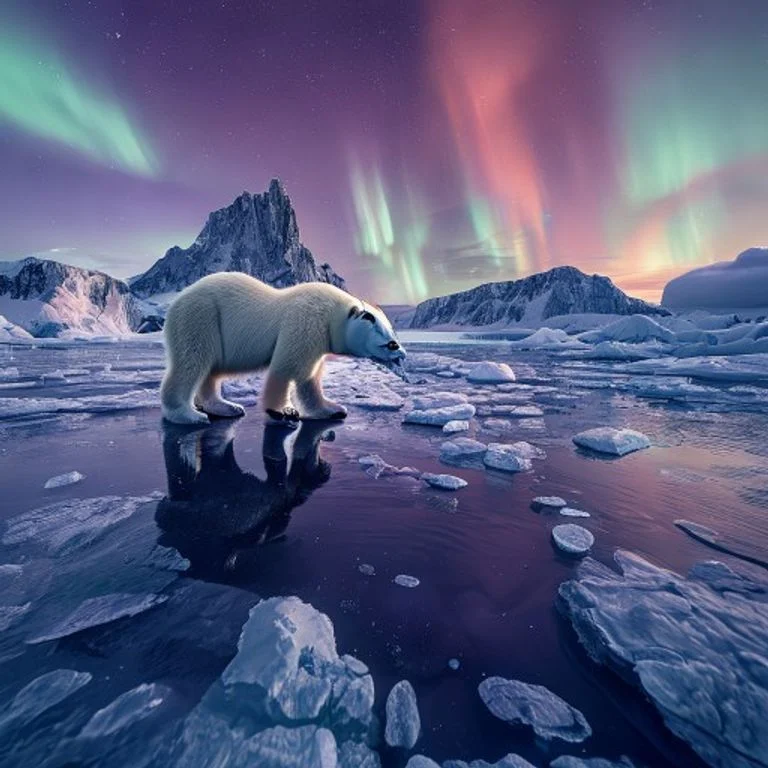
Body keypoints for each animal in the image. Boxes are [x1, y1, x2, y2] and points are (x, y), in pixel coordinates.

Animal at [160, 272, 406, 425]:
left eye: (393, 333)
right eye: (390, 342)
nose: (401, 352)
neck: (331, 313)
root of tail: (176, 301)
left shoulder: (318, 341)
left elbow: (309, 378)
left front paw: (334, 409)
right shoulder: (306, 322)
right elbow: (286, 367)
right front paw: (283, 412)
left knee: (211, 371)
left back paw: (227, 407)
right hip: (201, 316)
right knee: (192, 361)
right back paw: (188, 415)